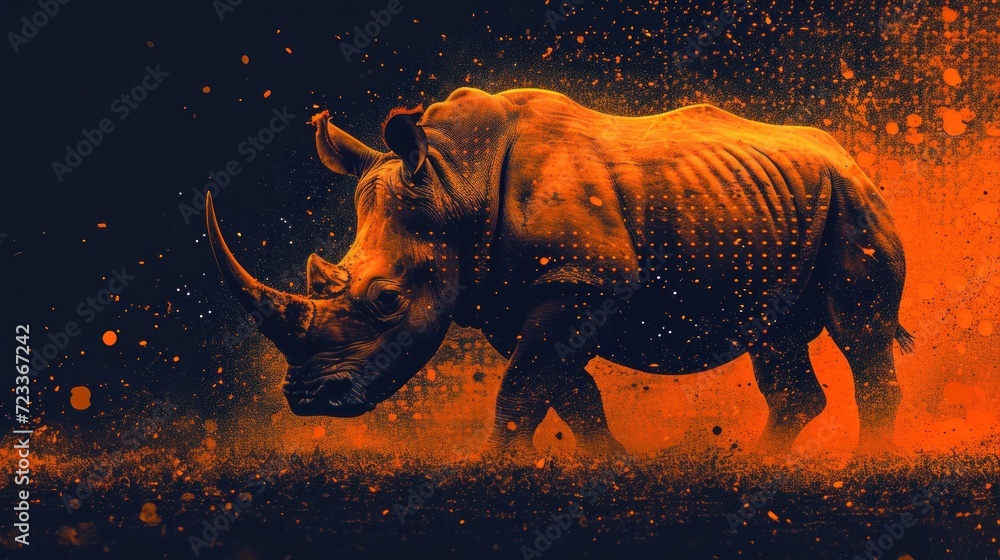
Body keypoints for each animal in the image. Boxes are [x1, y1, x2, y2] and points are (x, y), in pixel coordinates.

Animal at [206, 87, 912, 457]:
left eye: (387, 300)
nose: (308, 400)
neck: (453, 180)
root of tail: (850, 155)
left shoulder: (581, 281)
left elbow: (524, 389)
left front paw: (494, 471)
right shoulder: (502, 298)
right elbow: (567, 394)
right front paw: (618, 468)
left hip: (853, 201)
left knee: (859, 333)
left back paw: (863, 467)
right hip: (776, 205)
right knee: (776, 341)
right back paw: (756, 469)